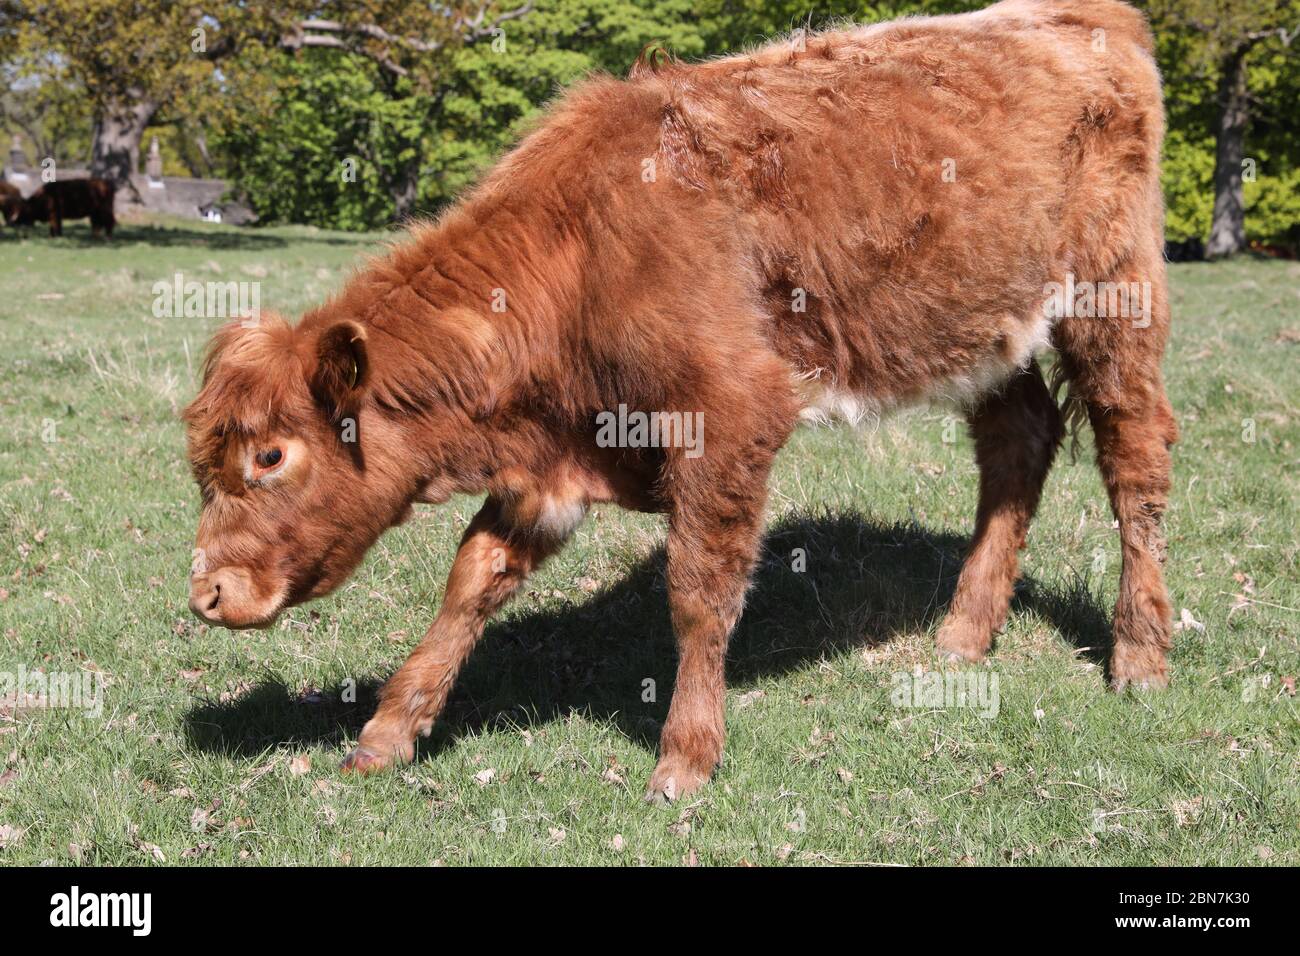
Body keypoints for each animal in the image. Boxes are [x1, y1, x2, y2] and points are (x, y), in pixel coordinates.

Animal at [184, 0, 1177, 802]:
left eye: (272, 455)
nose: (207, 593)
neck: (581, 251)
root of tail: (1089, 17)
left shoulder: (729, 421)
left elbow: (699, 590)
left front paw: (685, 759)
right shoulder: (548, 469)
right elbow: (470, 581)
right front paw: (388, 732)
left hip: (1113, 297)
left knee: (1135, 458)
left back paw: (1139, 655)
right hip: (986, 330)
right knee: (1021, 439)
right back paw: (965, 633)